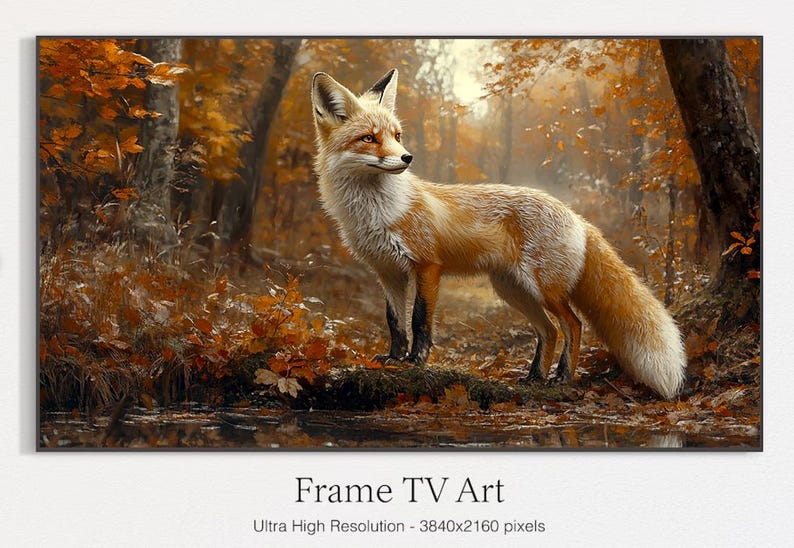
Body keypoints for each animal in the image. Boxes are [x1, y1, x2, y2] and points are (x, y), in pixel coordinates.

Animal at [311, 68, 687, 399]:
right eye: (369, 138)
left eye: (396, 135)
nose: (407, 157)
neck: (375, 212)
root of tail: (579, 218)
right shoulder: (387, 271)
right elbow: (394, 322)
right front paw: (393, 359)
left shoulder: (427, 266)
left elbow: (419, 320)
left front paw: (415, 362)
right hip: (514, 290)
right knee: (549, 330)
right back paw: (535, 376)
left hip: (544, 288)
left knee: (574, 325)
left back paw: (562, 377)